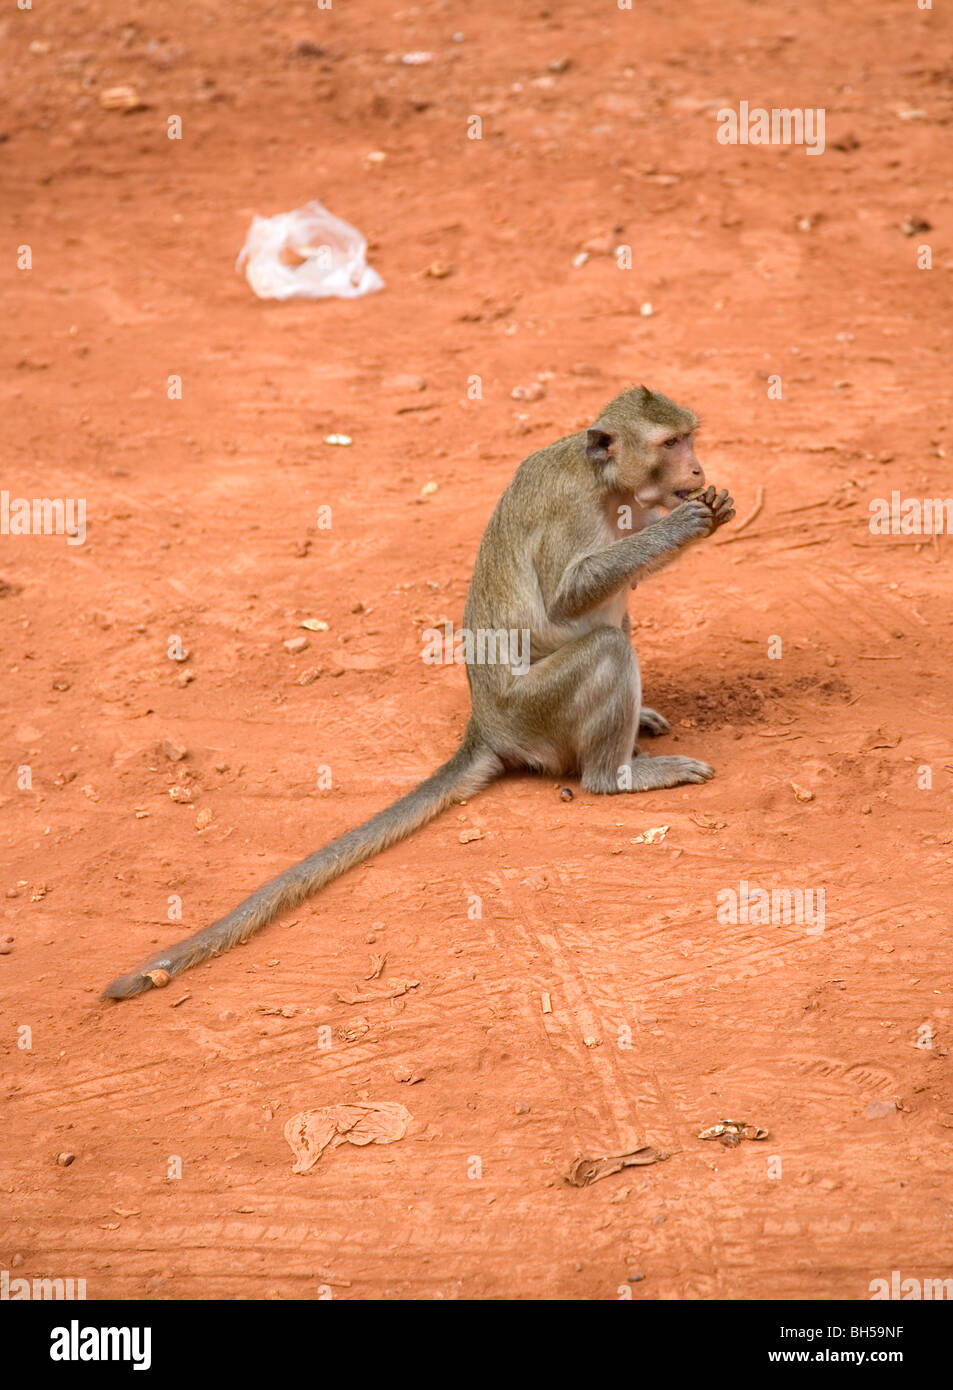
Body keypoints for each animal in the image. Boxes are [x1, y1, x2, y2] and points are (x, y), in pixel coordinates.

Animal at [102, 385, 733, 1000]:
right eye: (671, 442)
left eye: (689, 437)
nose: (697, 468)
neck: (610, 484)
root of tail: (486, 725)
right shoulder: (570, 511)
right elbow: (568, 594)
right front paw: (680, 526)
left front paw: (710, 511)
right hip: (535, 711)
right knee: (607, 648)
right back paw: (617, 775)